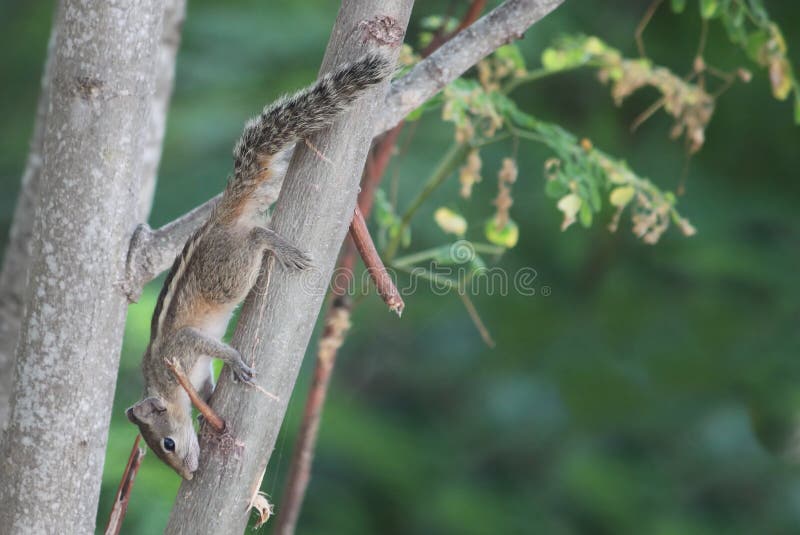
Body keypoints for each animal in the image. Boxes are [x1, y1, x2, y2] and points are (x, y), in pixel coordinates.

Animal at [126, 53, 392, 479]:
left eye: (168, 443)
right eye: (159, 451)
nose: (188, 474)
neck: (162, 383)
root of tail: (218, 220)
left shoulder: (182, 348)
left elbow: (205, 344)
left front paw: (234, 360)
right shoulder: (196, 370)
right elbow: (206, 385)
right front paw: (207, 406)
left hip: (229, 274)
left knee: (255, 237)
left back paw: (278, 247)